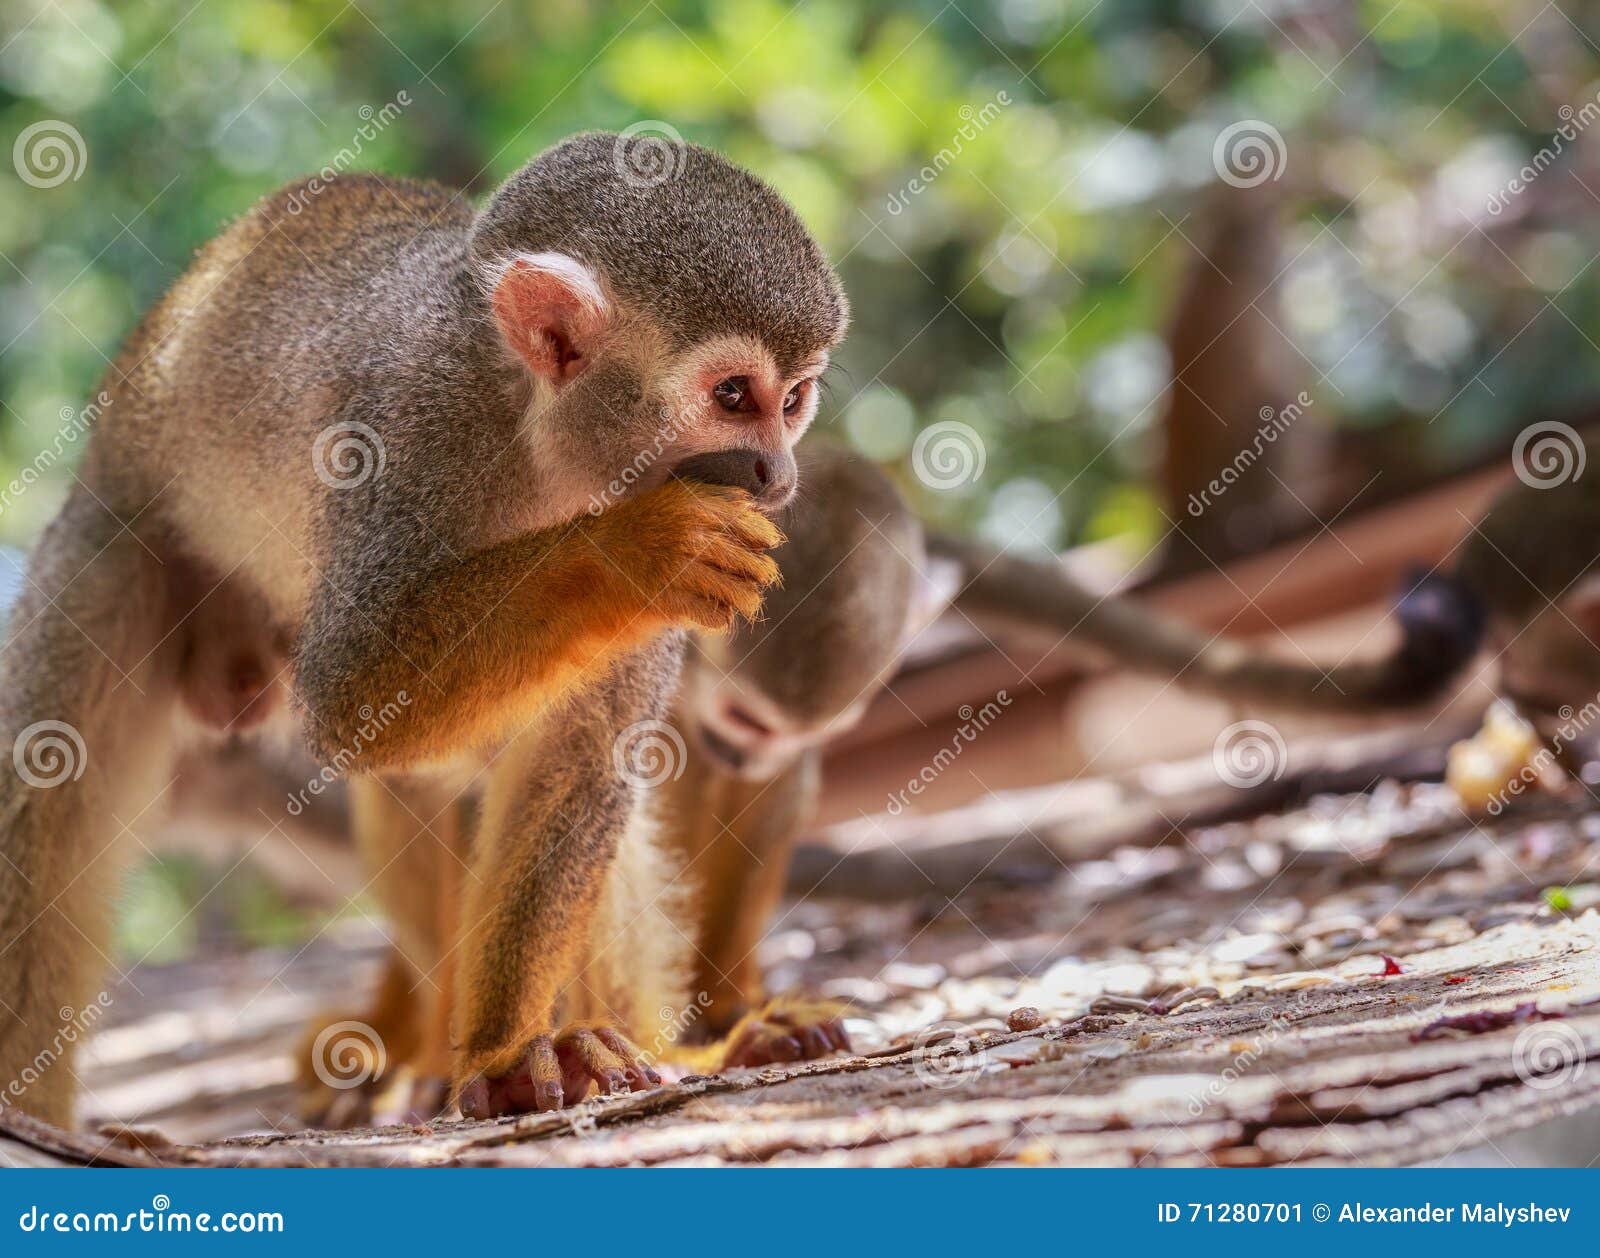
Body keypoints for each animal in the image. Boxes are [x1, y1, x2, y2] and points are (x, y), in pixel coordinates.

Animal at [0, 130, 849, 1129]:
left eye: (792, 400)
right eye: (733, 396)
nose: (774, 476)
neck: (539, 438)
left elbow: (573, 759)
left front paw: (513, 1051)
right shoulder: (409, 426)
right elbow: (356, 695)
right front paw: (637, 550)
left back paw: (663, 1047)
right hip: (116, 551)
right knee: (52, 797)